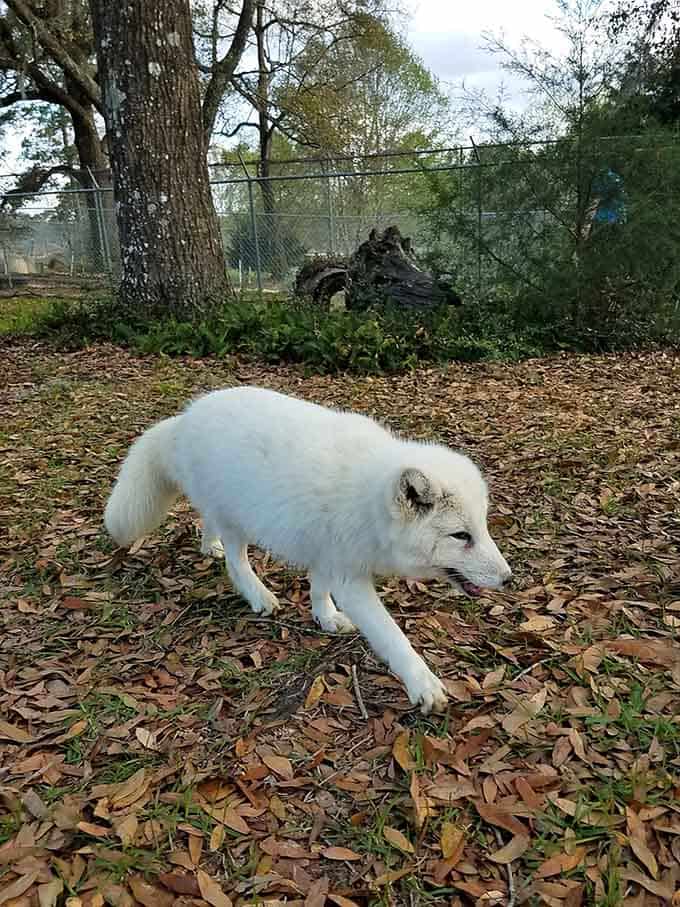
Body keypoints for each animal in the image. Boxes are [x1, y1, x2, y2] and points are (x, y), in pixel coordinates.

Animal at [104, 386, 511, 713]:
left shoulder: (326, 554)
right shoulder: (350, 578)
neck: (369, 501)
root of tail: (185, 417)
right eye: (461, 536)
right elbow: (392, 636)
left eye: (483, 527)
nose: (508, 579)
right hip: (239, 522)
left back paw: (210, 546)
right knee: (237, 563)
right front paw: (422, 684)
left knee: (208, 523)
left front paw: (324, 617)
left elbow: (318, 588)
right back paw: (258, 595)